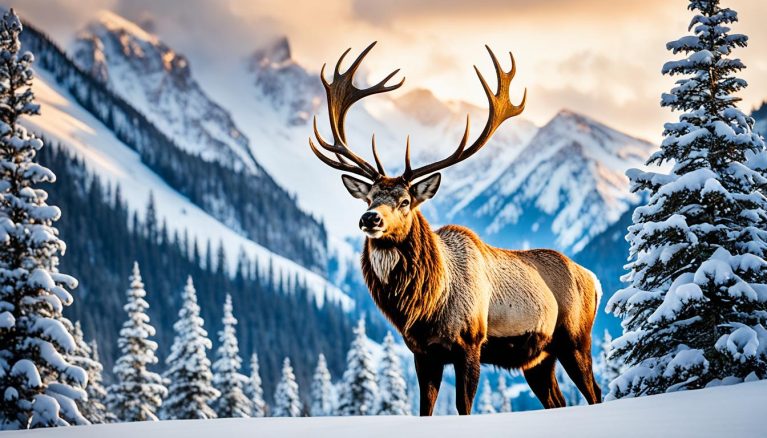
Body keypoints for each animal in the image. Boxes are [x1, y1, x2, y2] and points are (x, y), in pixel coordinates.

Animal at [308, 42, 603, 415]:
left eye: (405, 201)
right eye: (369, 198)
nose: (370, 219)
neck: (426, 304)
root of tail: (594, 280)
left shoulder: (470, 343)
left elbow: (464, 406)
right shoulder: (423, 352)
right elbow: (425, 409)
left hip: (576, 340)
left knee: (595, 391)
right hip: (538, 358)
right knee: (558, 400)